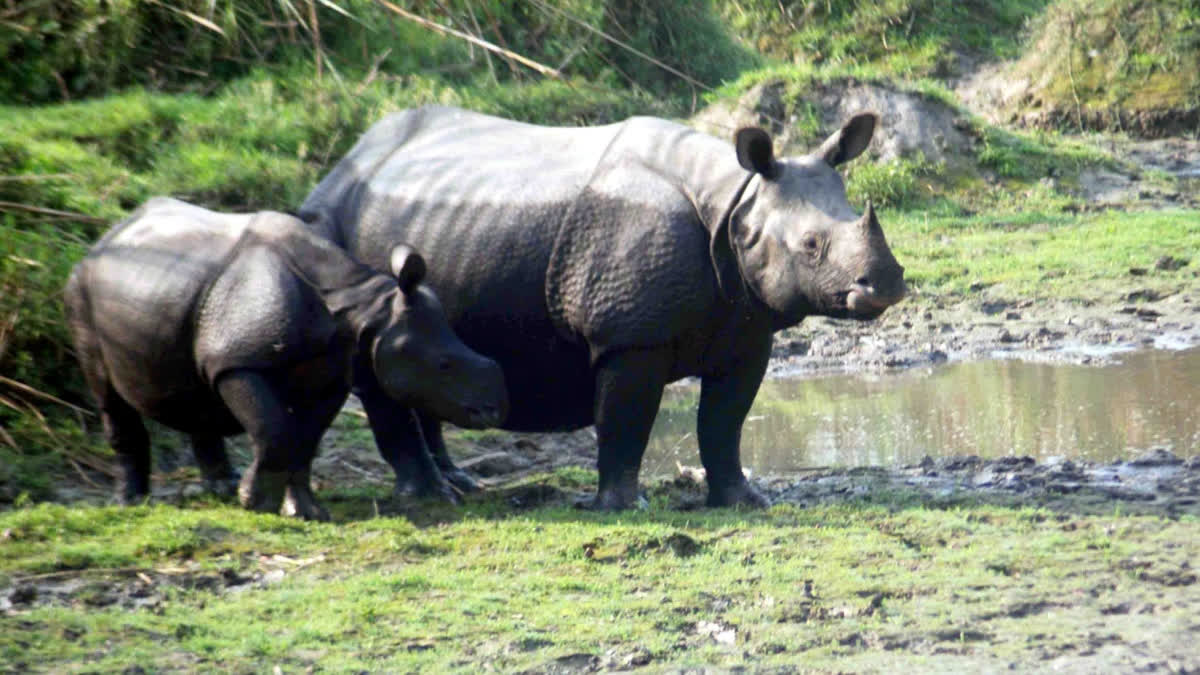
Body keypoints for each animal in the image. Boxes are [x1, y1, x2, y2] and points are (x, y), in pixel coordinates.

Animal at [64, 197, 507, 519]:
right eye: (443, 364)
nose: (494, 409)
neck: (363, 306)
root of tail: (104, 238)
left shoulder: (331, 375)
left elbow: (305, 441)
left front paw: (306, 513)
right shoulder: (239, 363)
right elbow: (275, 430)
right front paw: (256, 503)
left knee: (195, 389)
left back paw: (220, 489)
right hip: (79, 289)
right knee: (108, 394)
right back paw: (130, 503)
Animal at [299, 105, 906, 510]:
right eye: (811, 245)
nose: (885, 285)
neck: (735, 203)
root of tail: (343, 164)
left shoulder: (747, 326)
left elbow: (725, 422)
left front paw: (744, 500)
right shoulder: (628, 335)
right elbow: (625, 419)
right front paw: (622, 507)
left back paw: (458, 484)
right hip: (331, 227)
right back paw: (431, 497)